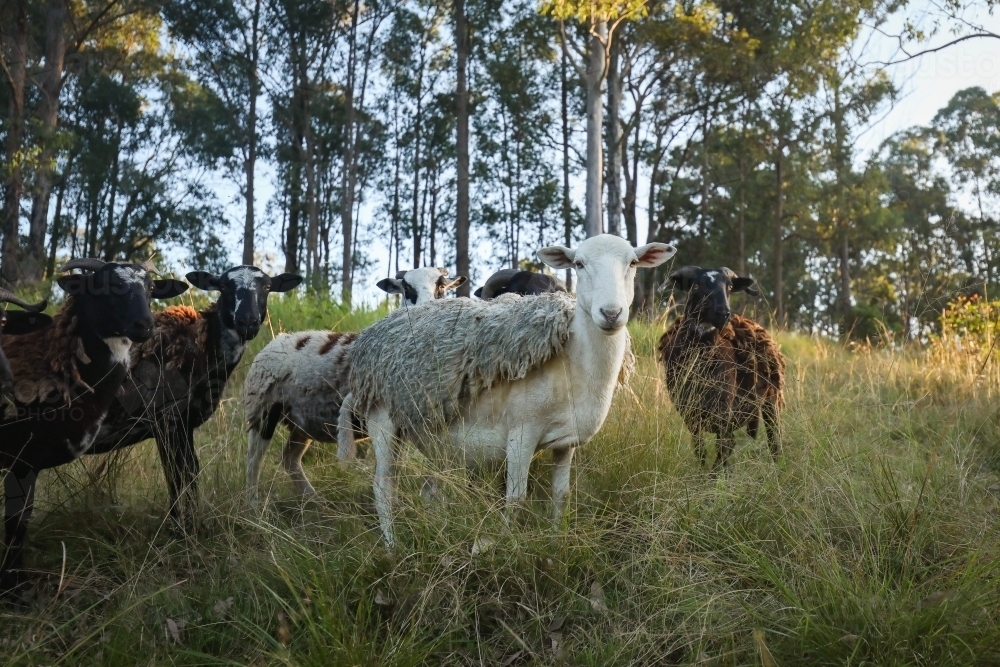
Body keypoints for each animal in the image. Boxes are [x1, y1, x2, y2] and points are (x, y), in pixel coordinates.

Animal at [0, 259, 188, 596]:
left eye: (151, 288)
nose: (144, 325)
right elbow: (17, 522)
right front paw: (13, 589)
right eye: (104, 285)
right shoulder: (21, 458)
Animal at [87, 265, 302, 531]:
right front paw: (179, 528)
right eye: (224, 286)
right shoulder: (166, 422)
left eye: (267, 286)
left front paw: (188, 523)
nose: (247, 321)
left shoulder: (184, 422)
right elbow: (176, 475)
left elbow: (190, 472)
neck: (201, 345)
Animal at [244, 266, 467, 503]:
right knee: (253, 461)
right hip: (263, 408)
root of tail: (280, 338)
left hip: (302, 421)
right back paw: (253, 504)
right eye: (406, 288)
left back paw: (314, 500)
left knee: (290, 458)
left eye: (441, 286)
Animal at [346, 234, 676, 547]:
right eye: (579, 264)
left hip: (429, 431)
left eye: (633, 263)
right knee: (384, 488)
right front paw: (507, 544)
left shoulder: (565, 443)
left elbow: (561, 496)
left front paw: (555, 543)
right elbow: (516, 498)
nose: (610, 313)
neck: (573, 363)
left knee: (429, 488)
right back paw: (392, 546)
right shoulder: (521, 434)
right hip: (382, 421)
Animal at [656, 266, 785, 470]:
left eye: (729, 286)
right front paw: (702, 474)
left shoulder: (724, 412)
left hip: (771, 401)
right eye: (695, 285)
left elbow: (723, 449)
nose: (723, 313)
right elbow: (700, 449)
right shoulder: (689, 413)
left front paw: (714, 477)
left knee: (774, 441)